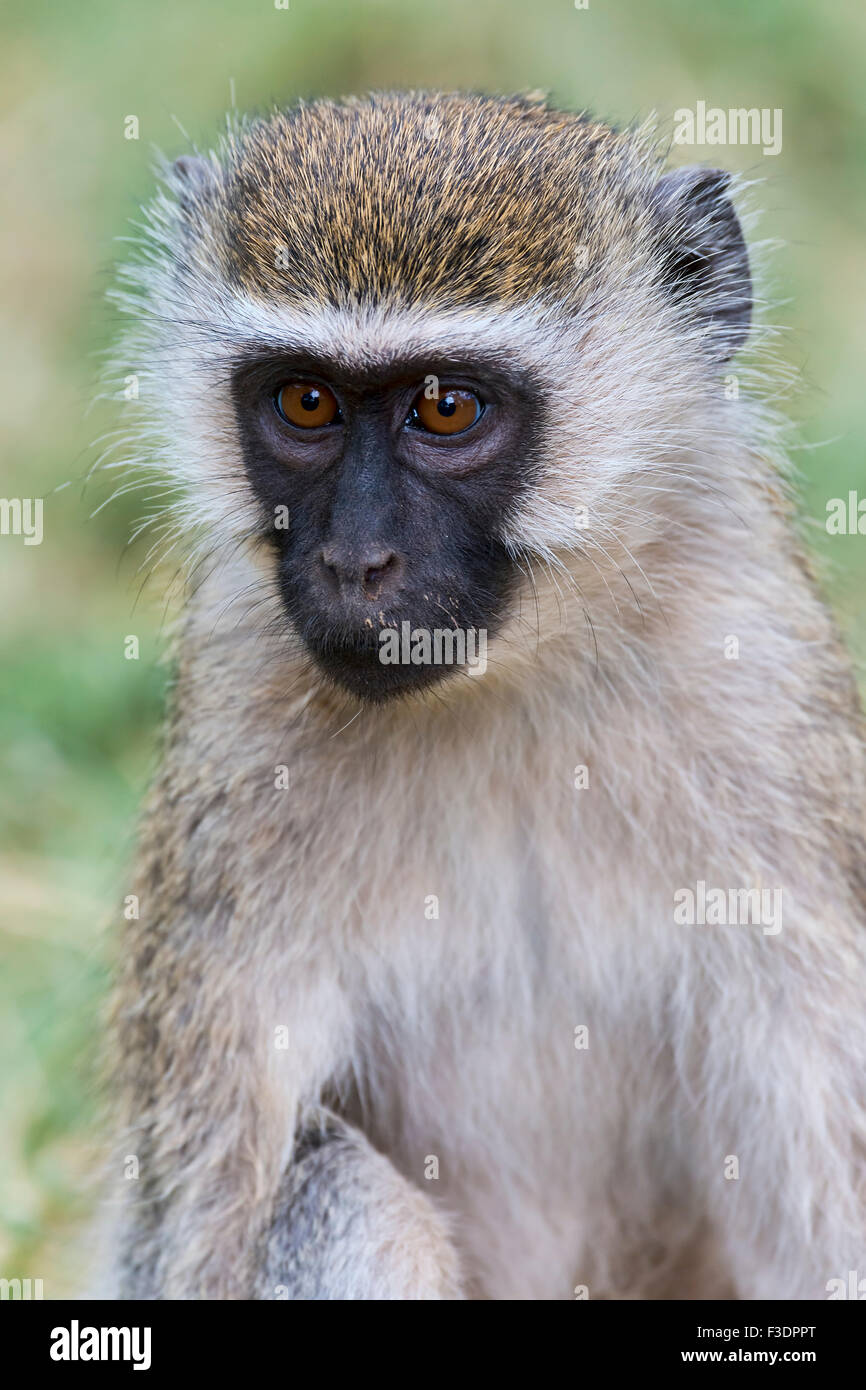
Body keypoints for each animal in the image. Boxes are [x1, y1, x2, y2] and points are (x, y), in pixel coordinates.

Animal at [96, 91, 866, 1300]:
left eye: (448, 409)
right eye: (304, 401)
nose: (354, 560)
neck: (512, 675)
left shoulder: (762, 688)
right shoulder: (235, 717)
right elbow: (197, 1221)